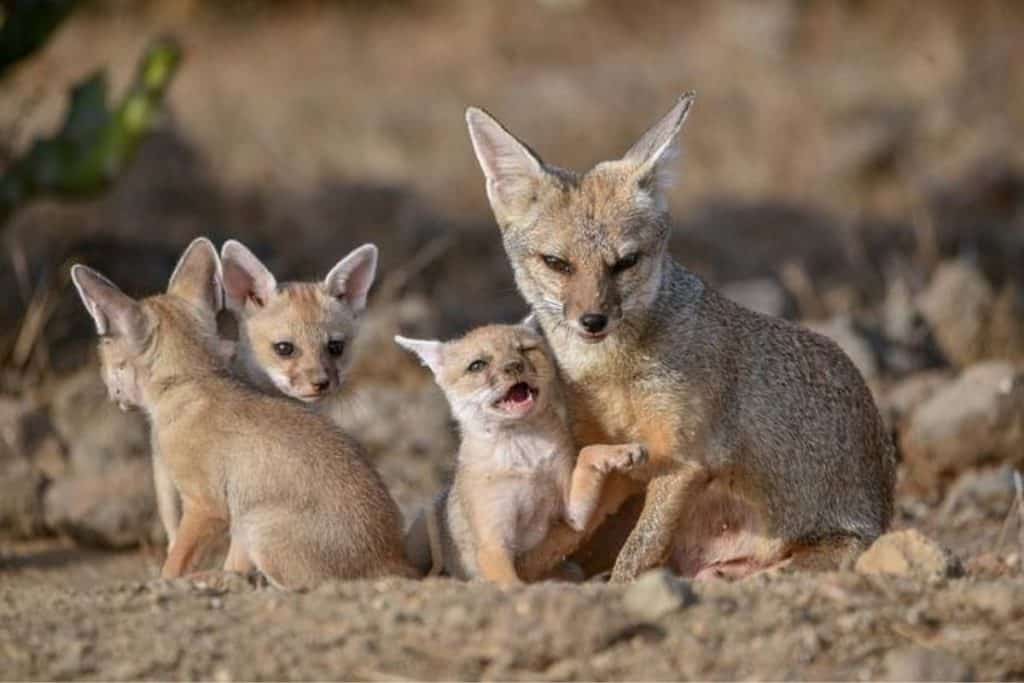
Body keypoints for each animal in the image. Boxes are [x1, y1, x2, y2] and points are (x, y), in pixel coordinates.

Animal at [70, 238, 414, 589]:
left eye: (106, 360)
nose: (111, 394)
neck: (195, 381)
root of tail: (397, 560)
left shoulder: (205, 506)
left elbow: (173, 564)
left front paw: (169, 582)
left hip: (253, 523)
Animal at [396, 324, 647, 585]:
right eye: (477, 365)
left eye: (526, 350)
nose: (514, 365)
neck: (525, 454)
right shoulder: (493, 544)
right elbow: (511, 584)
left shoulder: (573, 516)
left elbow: (588, 451)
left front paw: (622, 451)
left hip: (571, 568)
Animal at [464, 93, 896, 582]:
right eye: (557, 263)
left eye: (626, 262)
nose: (593, 320)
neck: (609, 376)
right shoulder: (619, 468)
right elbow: (567, 531)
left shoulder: (683, 461)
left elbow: (636, 551)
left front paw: (617, 589)